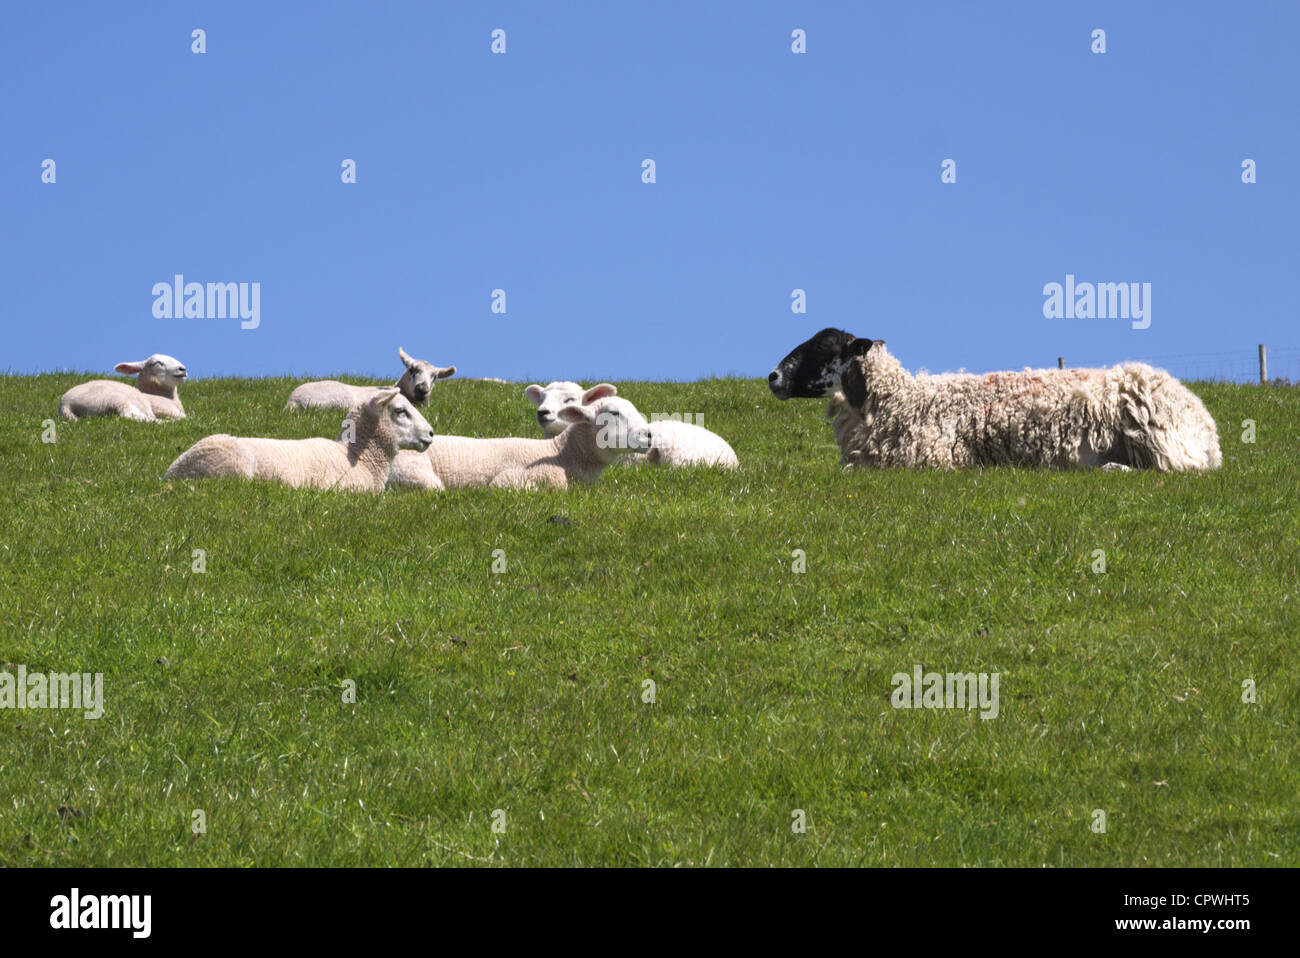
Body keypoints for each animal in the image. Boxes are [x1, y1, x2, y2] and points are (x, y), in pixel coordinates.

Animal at [58, 355, 188, 421]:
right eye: (157, 363)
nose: (182, 369)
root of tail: (66, 404)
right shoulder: (165, 408)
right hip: (113, 399)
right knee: (129, 415)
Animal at [769, 328, 1222, 472]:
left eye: (822, 347)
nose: (772, 376)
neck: (896, 399)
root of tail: (1209, 432)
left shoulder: (929, 458)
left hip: (1158, 437)